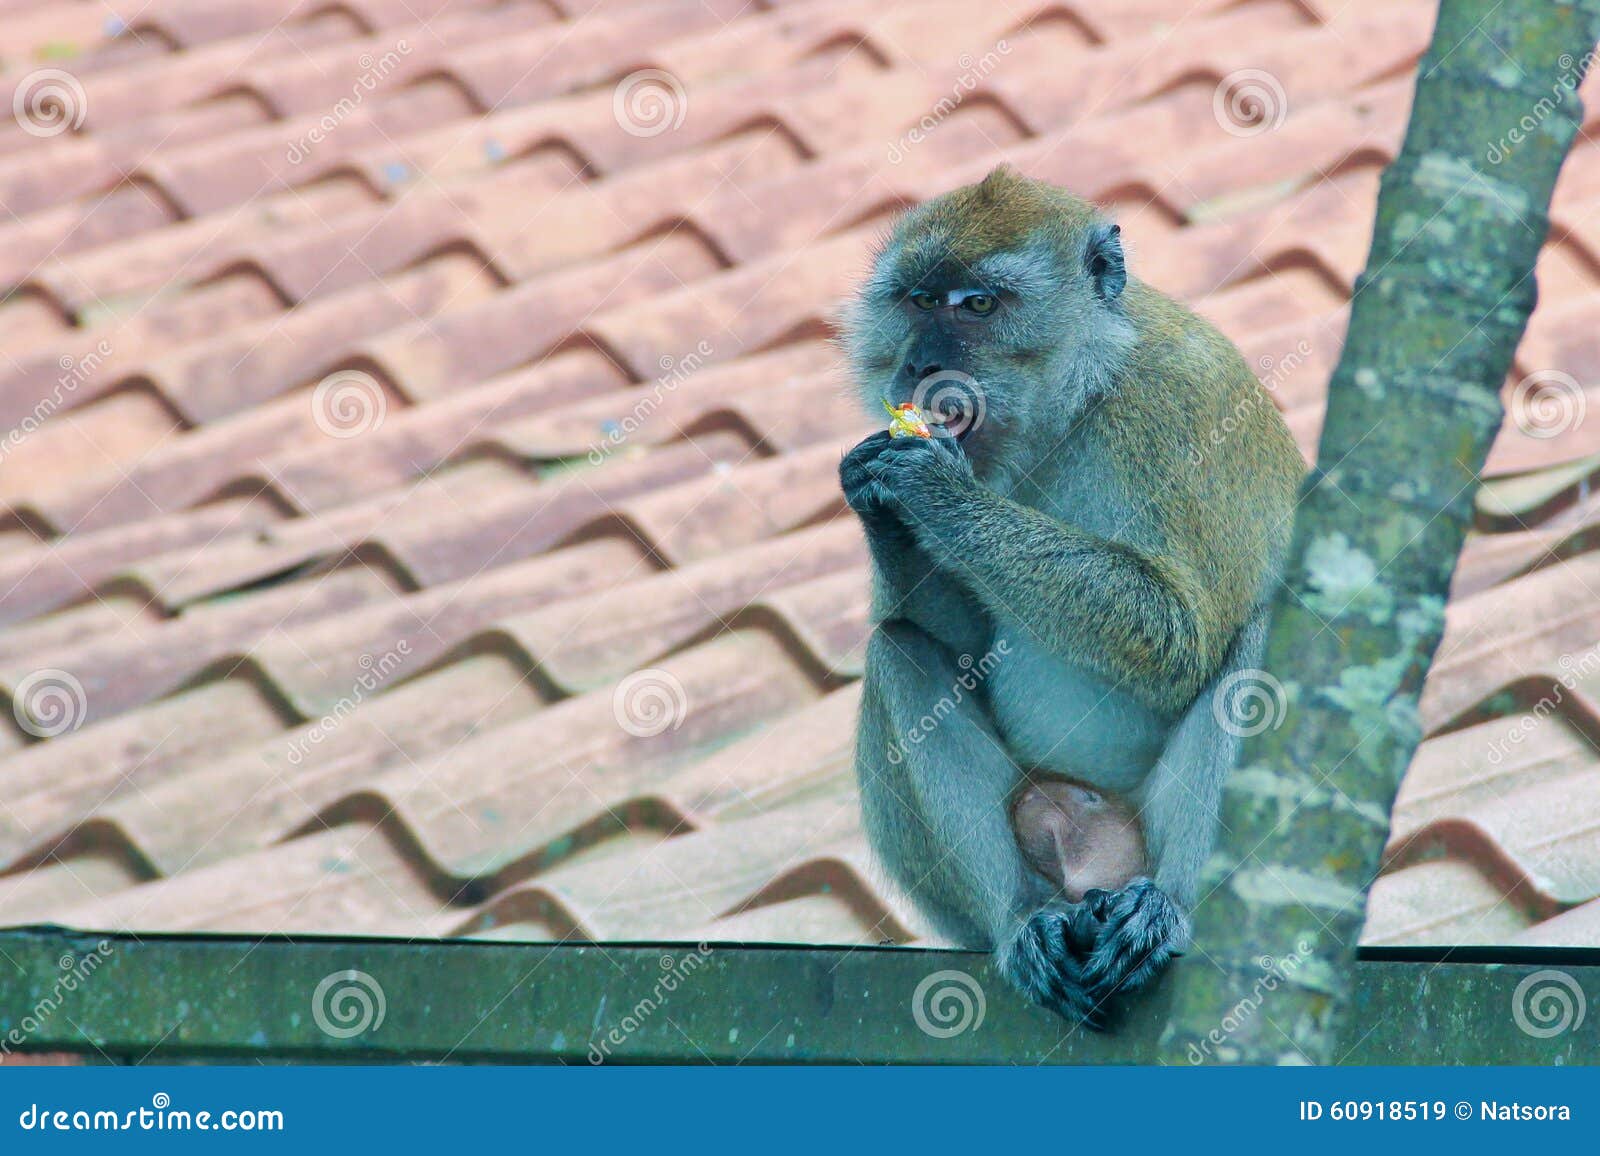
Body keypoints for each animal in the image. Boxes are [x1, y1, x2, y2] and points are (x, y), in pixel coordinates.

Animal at [838, 166, 1303, 1027]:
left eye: (979, 305)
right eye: (919, 300)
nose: (918, 366)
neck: (1080, 399)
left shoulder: (1179, 407)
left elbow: (1180, 637)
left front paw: (934, 487)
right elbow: (950, 641)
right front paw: (877, 492)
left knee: (1255, 649)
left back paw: (1169, 912)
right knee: (898, 652)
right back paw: (1027, 916)